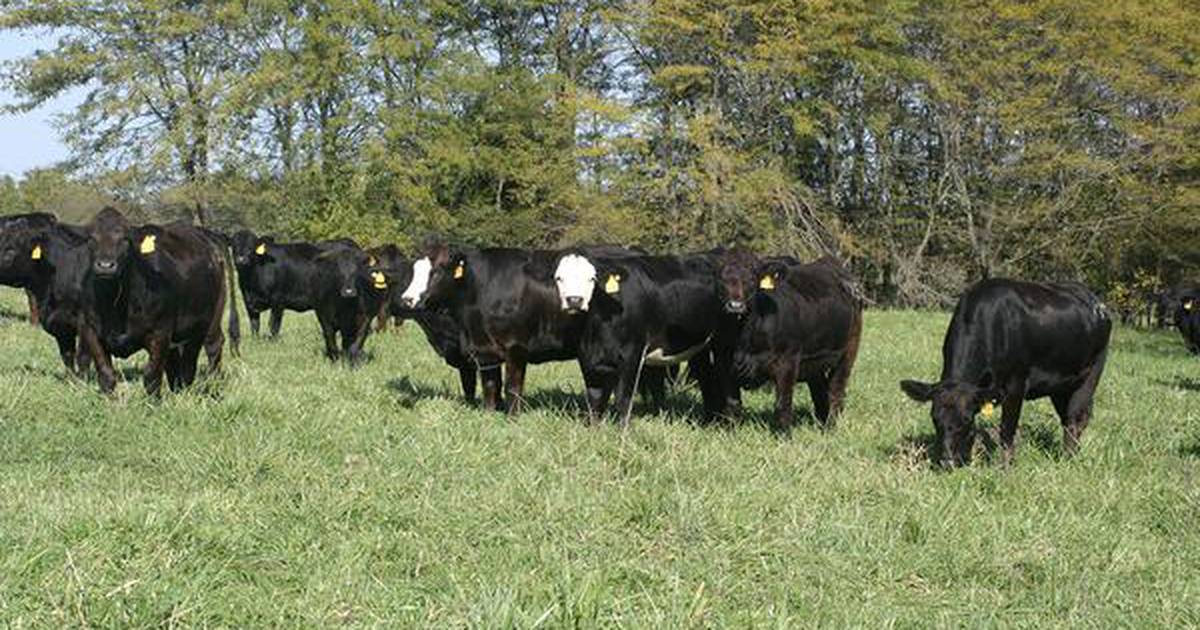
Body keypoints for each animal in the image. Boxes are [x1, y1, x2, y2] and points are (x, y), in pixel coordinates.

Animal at [78, 207, 239, 395]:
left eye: (126, 239)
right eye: (91, 239)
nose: (105, 265)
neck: (115, 304)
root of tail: (204, 232)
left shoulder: (160, 332)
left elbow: (151, 375)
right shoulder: (91, 331)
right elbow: (106, 374)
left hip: (210, 316)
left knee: (210, 347)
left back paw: (212, 385)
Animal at [549, 249, 738, 426]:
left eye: (592, 279)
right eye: (559, 278)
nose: (574, 300)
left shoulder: (631, 353)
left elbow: (623, 399)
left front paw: (623, 433)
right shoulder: (587, 357)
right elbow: (594, 399)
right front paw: (594, 431)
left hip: (724, 340)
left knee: (725, 379)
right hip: (699, 347)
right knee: (707, 379)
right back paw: (709, 421)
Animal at [717, 249, 863, 432]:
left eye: (752, 278)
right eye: (721, 279)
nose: (735, 305)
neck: (744, 338)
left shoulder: (787, 362)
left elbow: (783, 403)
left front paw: (784, 435)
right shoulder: (725, 362)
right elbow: (732, 403)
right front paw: (731, 432)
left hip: (849, 350)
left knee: (836, 389)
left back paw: (830, 426)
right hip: (813, 360)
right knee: (820, 390)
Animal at [900, 279, 1112, 468]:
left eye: (966, 419)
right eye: (934, 418)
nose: (947, 462)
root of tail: (1095, 301)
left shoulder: (1016, 385)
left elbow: (1007, 430)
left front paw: (1005, 467)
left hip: (1092, 372)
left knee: (1076, 419)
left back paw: (1069, 459)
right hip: (1060, 385)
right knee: (1067, 419)